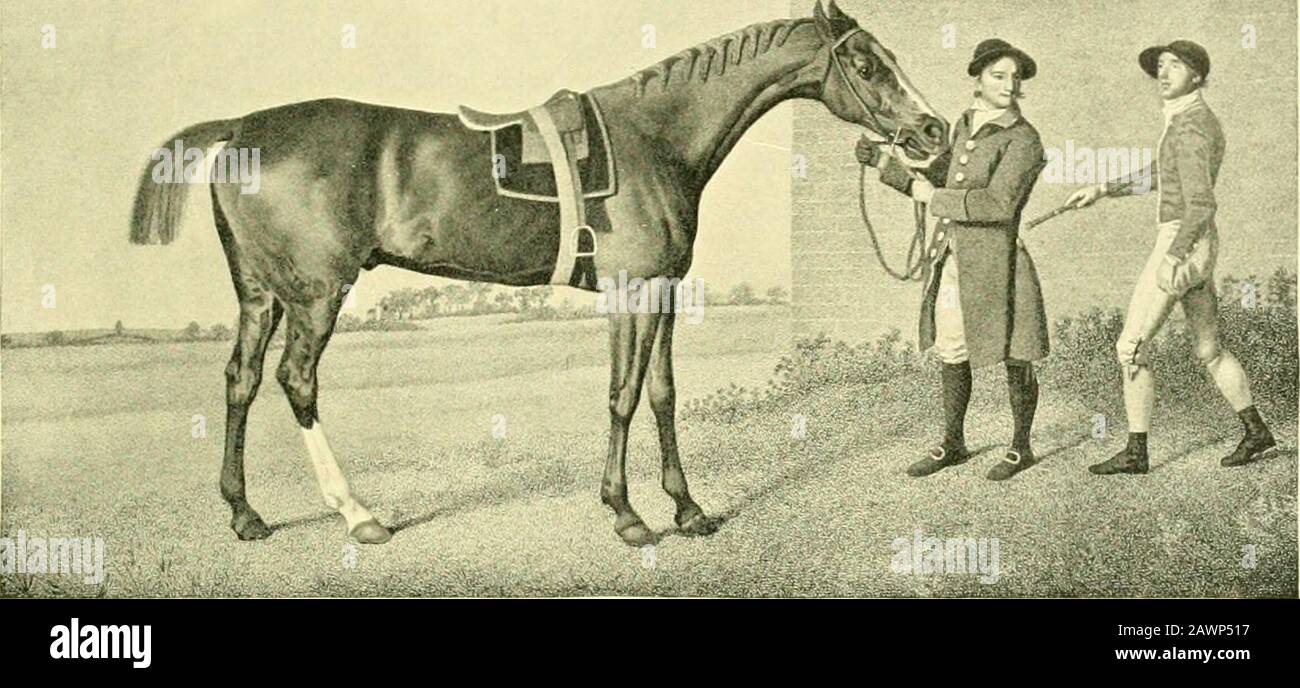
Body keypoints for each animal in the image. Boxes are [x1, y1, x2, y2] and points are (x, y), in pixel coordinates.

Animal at [129, 0, 948, 547]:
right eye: (867, 64)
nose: (932, 130)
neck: (655, 136)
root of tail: (241, 128)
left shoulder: (665, 290)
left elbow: (663, 394)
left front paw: (688, 510)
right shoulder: (629, 290)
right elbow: (622, 396)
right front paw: (627, 515)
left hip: (260, 293)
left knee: (240, 380)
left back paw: (246, 515)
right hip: (316, 292)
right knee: (296, 380)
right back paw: (359, 514)